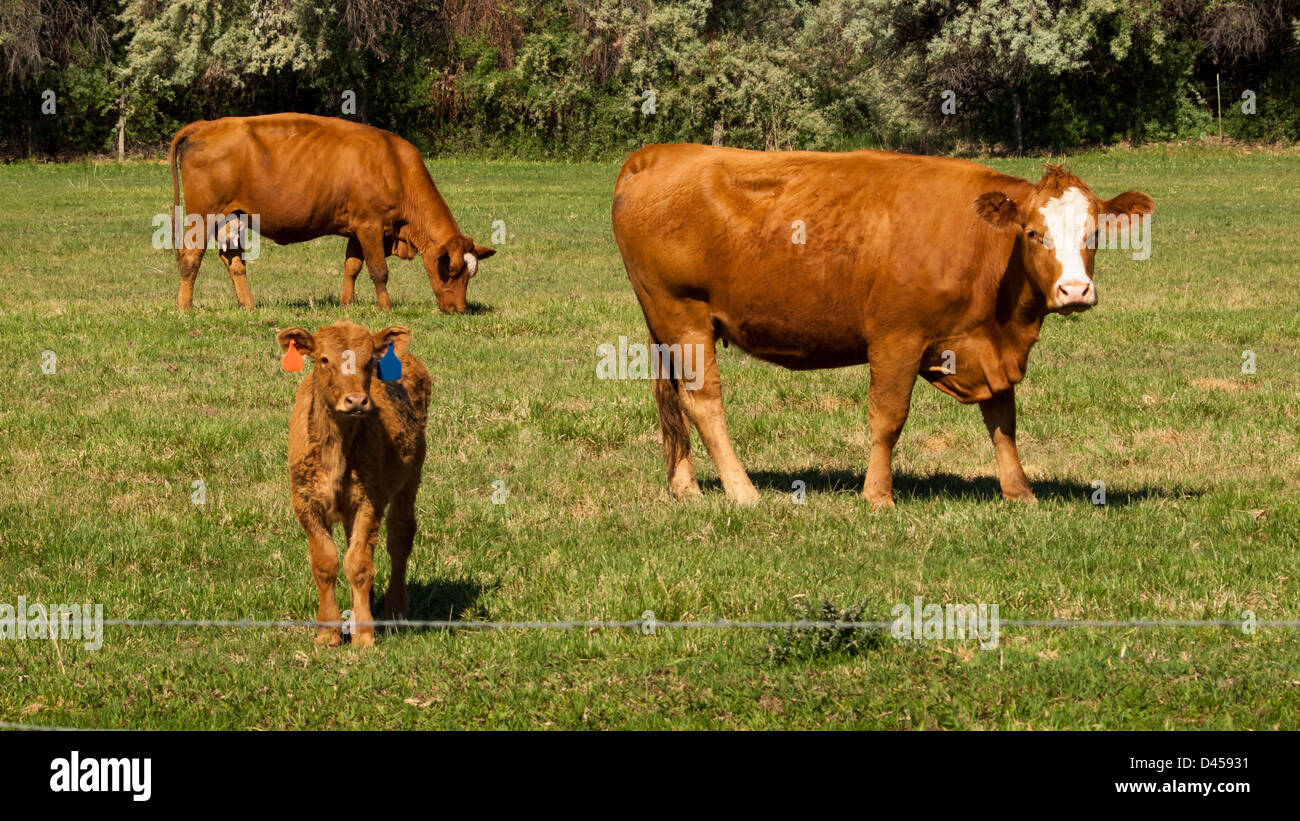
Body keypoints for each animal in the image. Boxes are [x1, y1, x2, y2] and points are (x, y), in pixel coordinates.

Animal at [169, 113, 495, 313]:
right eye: (451, 271)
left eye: (471, 274)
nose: (458, 310)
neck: (395, 166)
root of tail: (207, 125)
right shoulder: (371, 226)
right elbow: (379, 270)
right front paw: (386, 307)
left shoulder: (358, 229)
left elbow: (352, 267)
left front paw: (346, 304)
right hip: (204, 216)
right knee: (191, 256)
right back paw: (185, 307)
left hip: (231, 216)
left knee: (234, 260)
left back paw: (248, 306)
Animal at [276, 319, 431, 648]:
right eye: (323, 359)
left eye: (369, 361)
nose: (356, 401)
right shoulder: (306, 503)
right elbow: (326, 562)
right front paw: (328, 632)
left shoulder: (369, 501)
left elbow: (359, 564)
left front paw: (364, 635)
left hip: (411, 477)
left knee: (400, 537)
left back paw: (395, 610)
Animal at [611, 144, 1153, 508]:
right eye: (1034, 233)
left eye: (1094, 232)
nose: (1075, 291)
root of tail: (656, 154)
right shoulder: (897, 338)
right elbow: (888, 418)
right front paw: (878, 496)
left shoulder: (990, 346)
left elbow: (1003, 420)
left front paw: (1019, 492)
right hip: (683, 315)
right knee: (703, 401)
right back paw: (742, 491)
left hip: (666, 327)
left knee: (672, 398)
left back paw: (685, 486)